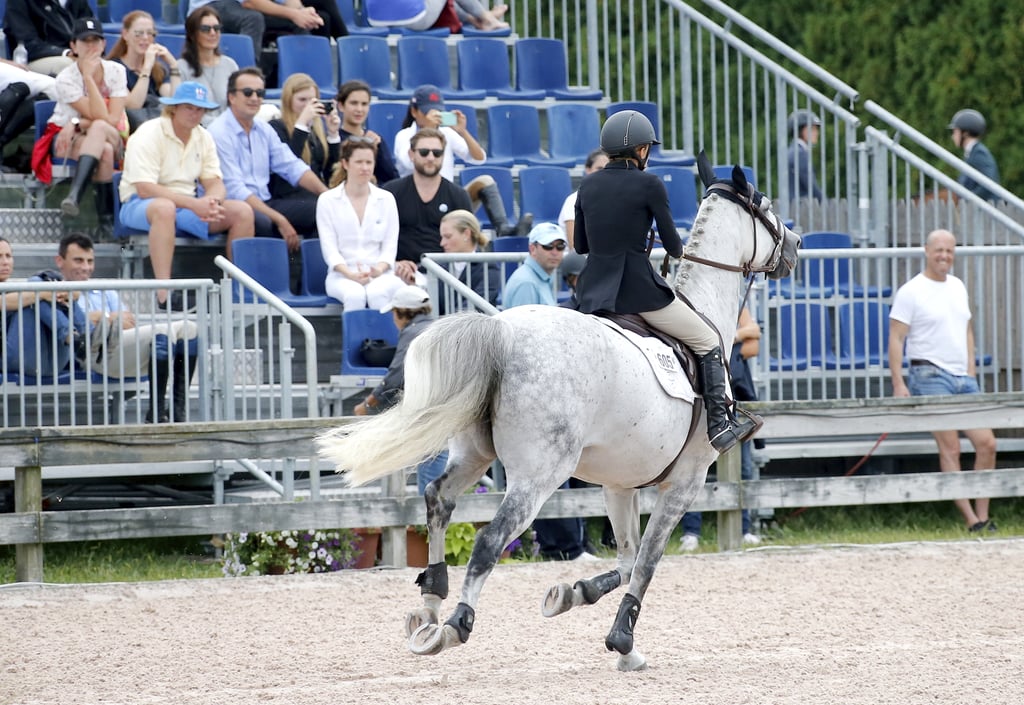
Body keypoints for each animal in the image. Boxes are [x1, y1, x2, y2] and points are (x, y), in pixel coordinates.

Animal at [317, 161, 800, 671]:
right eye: (766, 207)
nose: (795, 244)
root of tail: (501, 332)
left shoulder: (619, 484)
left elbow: (627, 559)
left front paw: (570, 595)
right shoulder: (683, 484)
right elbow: (647, 563)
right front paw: (623, 642)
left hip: (474, 454)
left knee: (437, 500)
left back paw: (429, 606)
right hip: (539, 474)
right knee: (490, 539)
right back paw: (454, 625)